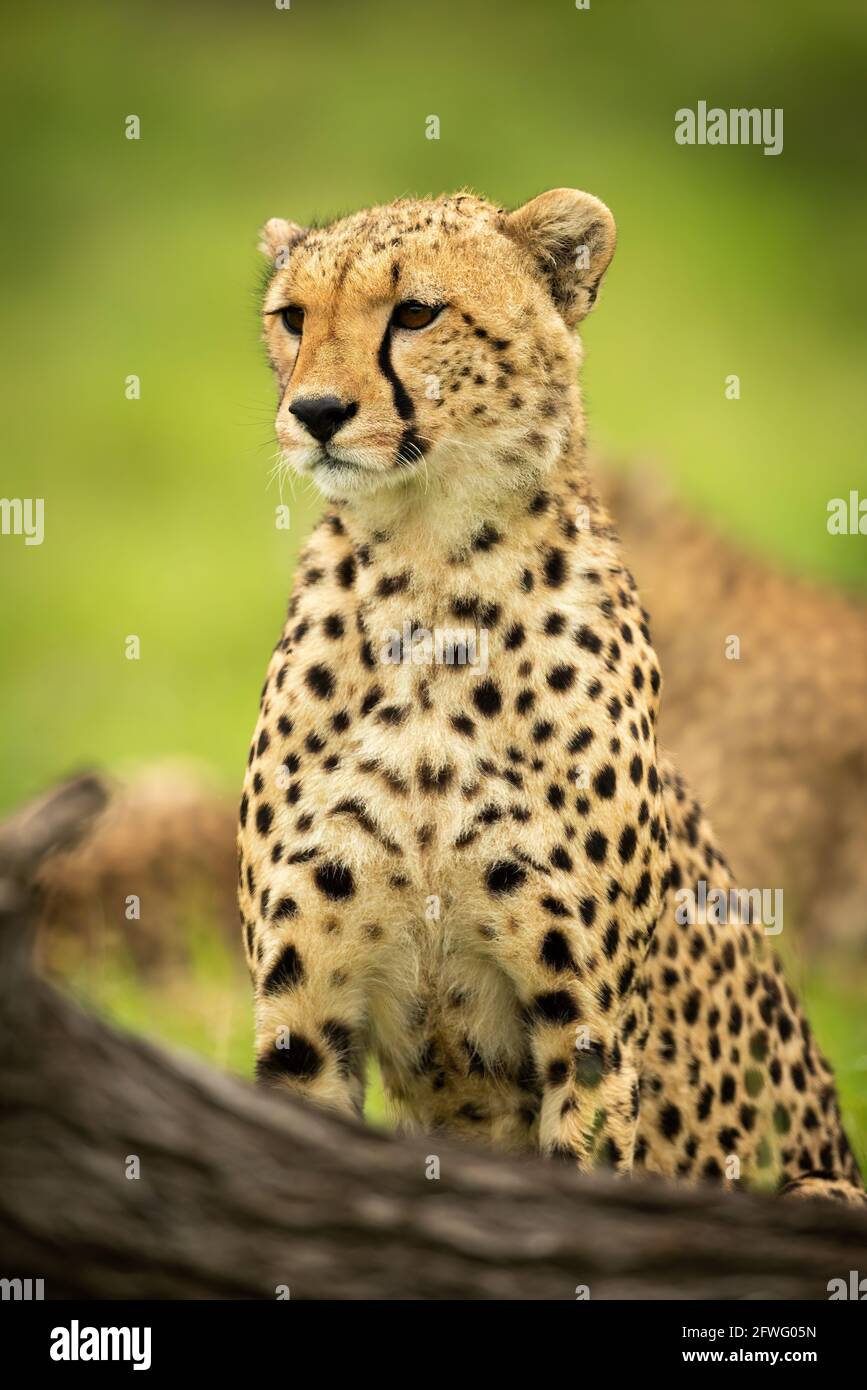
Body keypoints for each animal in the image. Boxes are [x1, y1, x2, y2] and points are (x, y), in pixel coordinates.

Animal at [237, 188, 863, 1203]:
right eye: (293, 317)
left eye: (415, 313)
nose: (316, 411)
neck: (425, 574)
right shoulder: (305, 1017)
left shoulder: (588, 1029)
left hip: (821, 1183)